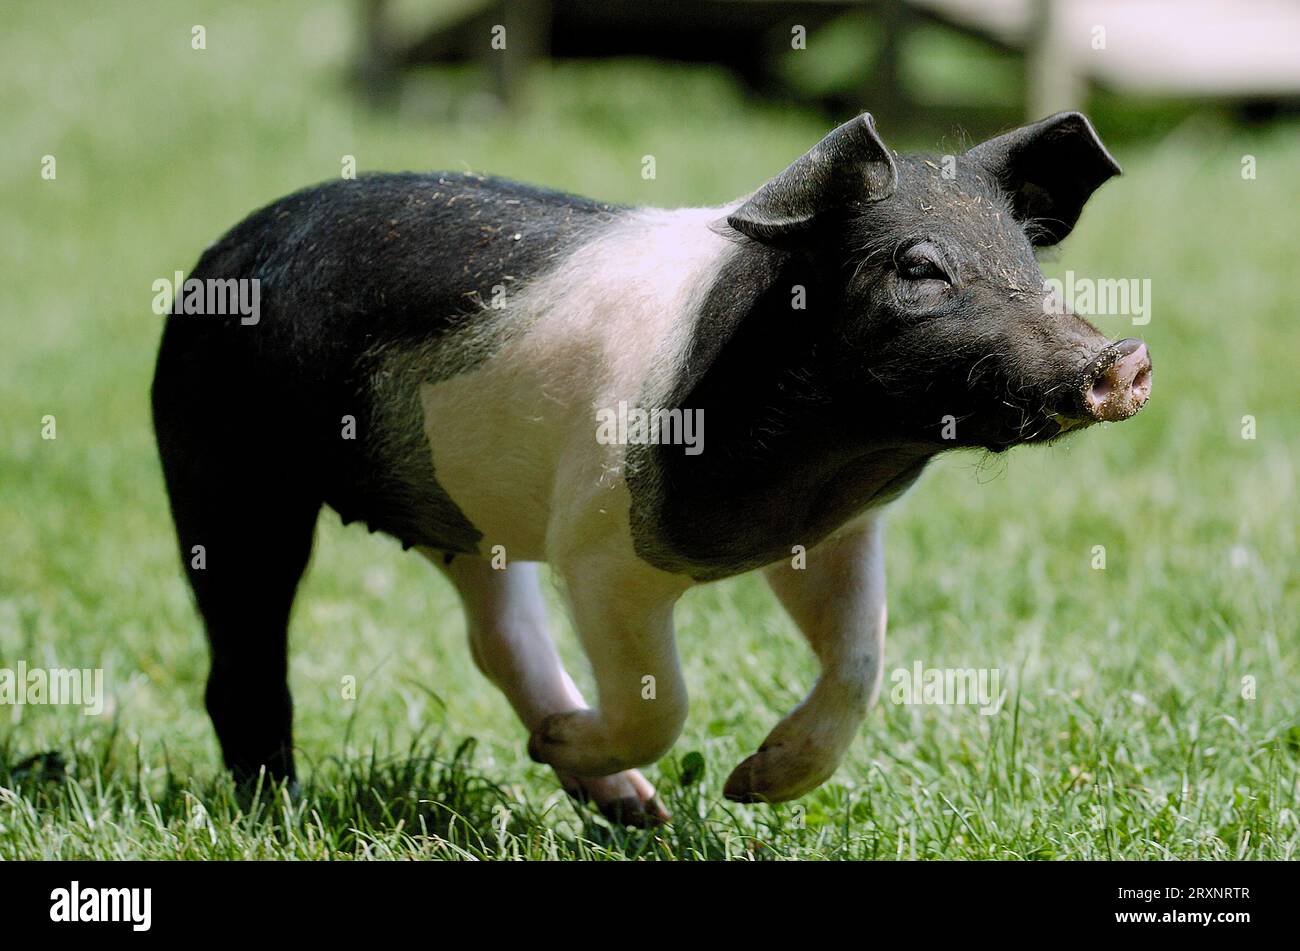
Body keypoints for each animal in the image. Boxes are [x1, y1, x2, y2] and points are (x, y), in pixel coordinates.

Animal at [151, 111, 1150, 826]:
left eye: (1029, 260)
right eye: (920, 267)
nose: (1123, 359)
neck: (833, 459)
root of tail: (219, 255)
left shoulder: (833, 532)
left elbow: (861, 658)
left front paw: (750, 787)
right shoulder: (598, 549)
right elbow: (664, 699)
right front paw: (704, 790)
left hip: (462, 510)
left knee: (496, 633)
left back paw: (622, 802)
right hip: (221, 470)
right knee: (243, 647)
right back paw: (280, 809)